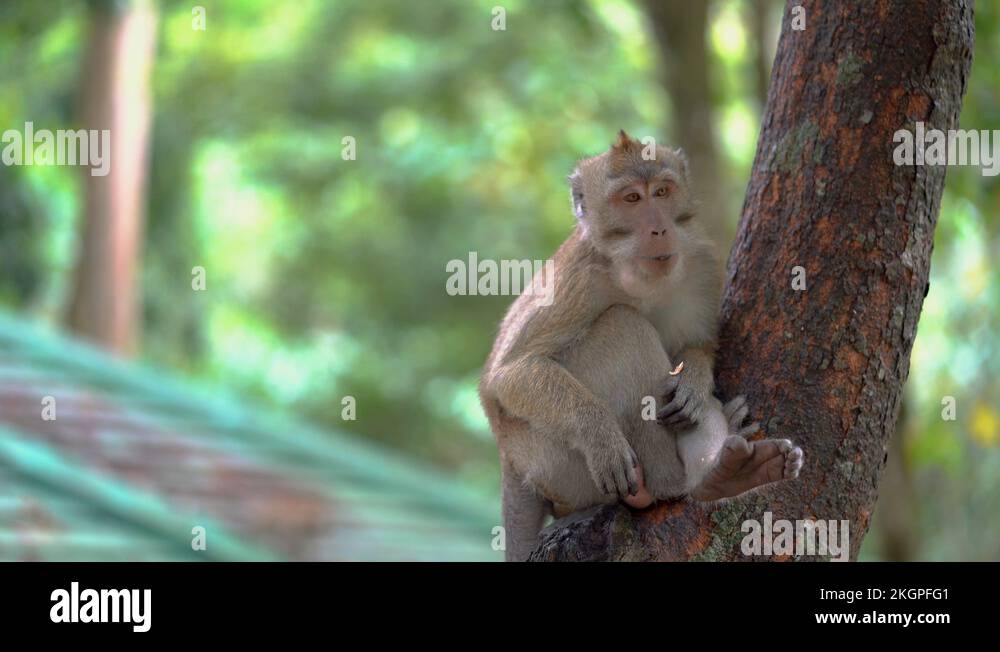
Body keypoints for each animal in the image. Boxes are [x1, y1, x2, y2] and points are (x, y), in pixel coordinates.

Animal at [479, 131, 804, 561]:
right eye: (632, 199)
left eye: (662, 192)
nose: (659, 230)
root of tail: (507, 458)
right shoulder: (578, 279)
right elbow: (510, 373)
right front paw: (600, 436)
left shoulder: (701, 260)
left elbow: (699, 343)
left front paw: (694, 379)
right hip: (551, 461)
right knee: (624, 326)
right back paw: (680, 483)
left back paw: (726, 469)